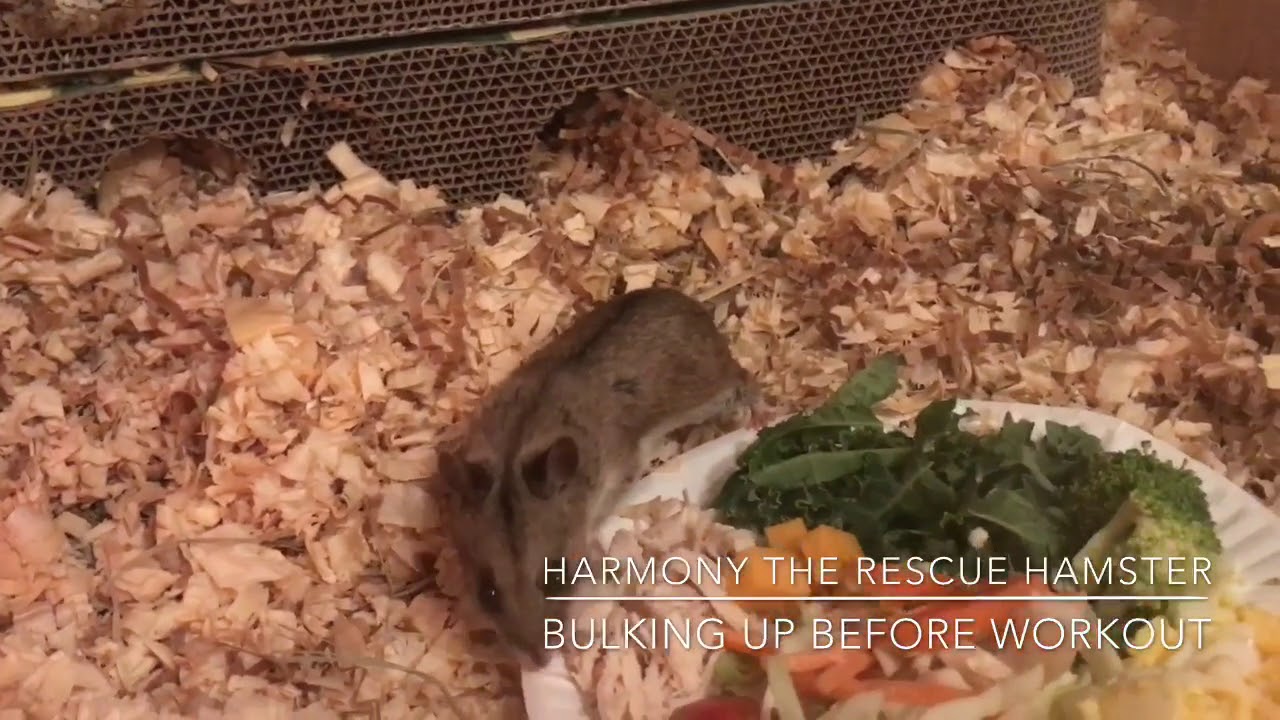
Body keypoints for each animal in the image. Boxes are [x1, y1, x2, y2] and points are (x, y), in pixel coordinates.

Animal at [436, 286, 755, 669]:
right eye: (488, 593)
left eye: (558, 577)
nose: (542, 661)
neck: (515, 446)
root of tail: (696, 308)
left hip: (713, 388)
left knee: (746, 380)